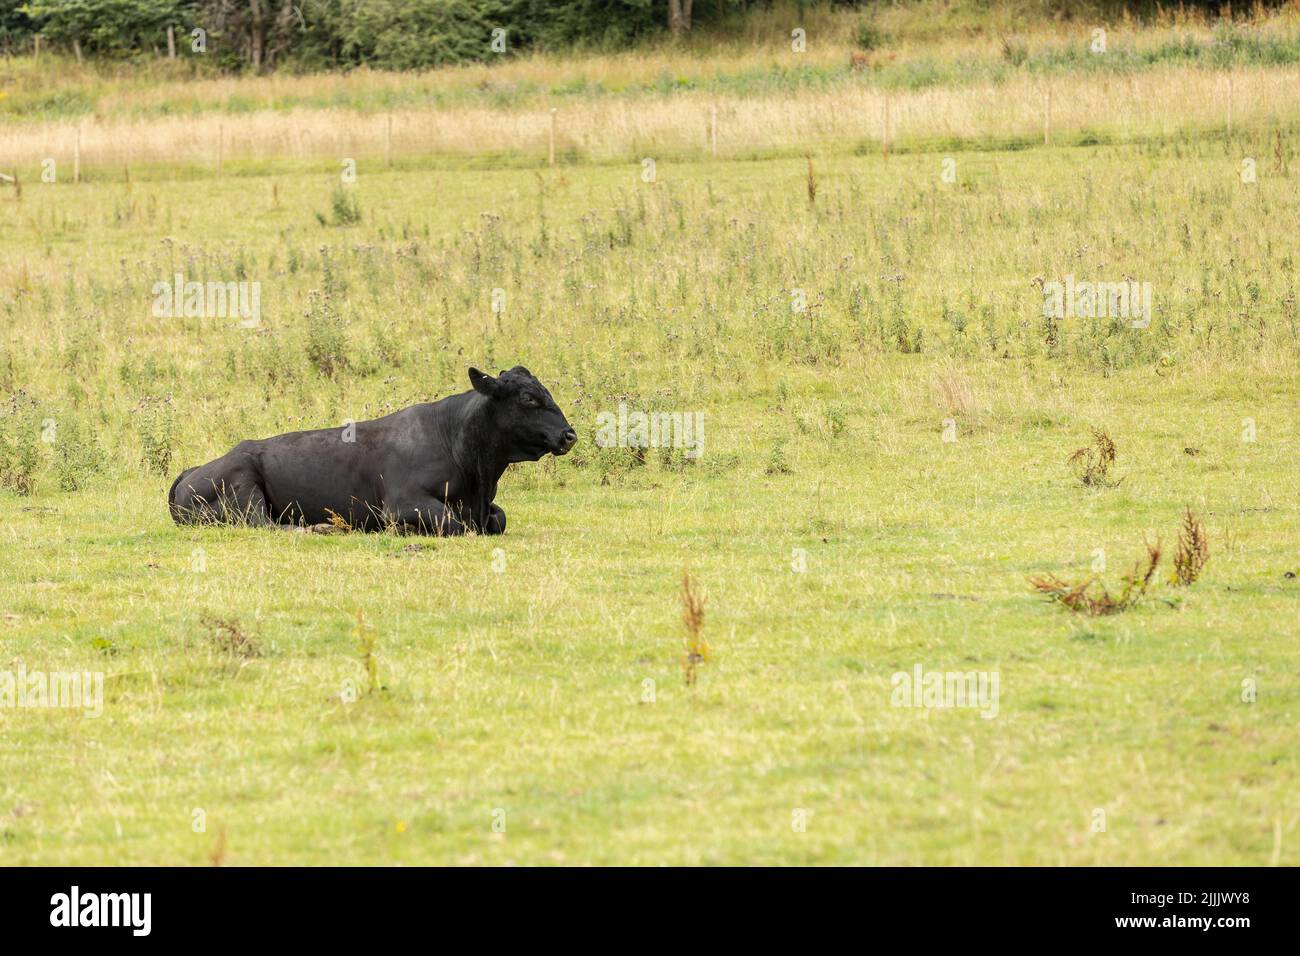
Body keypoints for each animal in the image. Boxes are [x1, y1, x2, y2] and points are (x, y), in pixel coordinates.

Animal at [168, 366, 576, 536]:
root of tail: (190, 472)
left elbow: (498, 519)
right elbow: (453, 524)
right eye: (528, 398)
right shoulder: (402, 503)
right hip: (243, 485)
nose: (569, 434)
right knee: (268, 526)